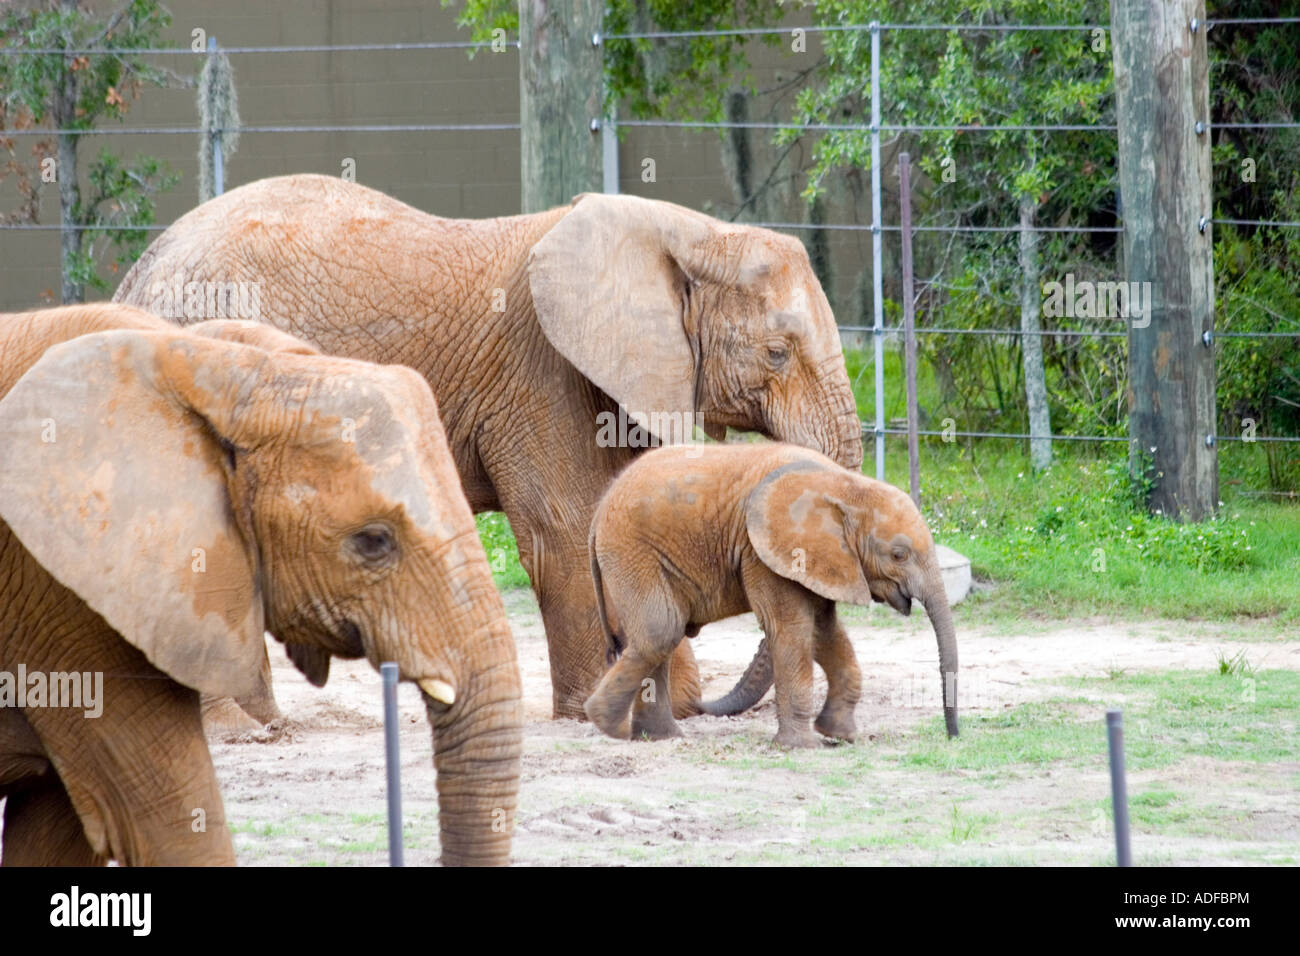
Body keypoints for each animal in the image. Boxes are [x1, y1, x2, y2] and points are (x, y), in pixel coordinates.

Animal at [112, 174, 864, 721]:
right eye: (778, 351)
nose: (712, 704)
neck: (685, 231)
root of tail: (138, 271)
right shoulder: (542, 372)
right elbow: (569, 524)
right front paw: (592, 712)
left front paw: (663, 705)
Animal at [583, 442, 959, 748]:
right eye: (899, 555)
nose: (953, 735)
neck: (844, 486)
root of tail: (598, 512)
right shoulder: (763, 551)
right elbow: (791, 628)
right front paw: (801, 747)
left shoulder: (815, 559)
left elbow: (822, 631)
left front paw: (842, 735)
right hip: (631, 549)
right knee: (660, 630)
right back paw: (606, 723)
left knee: (664, 634)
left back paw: (660, 737)